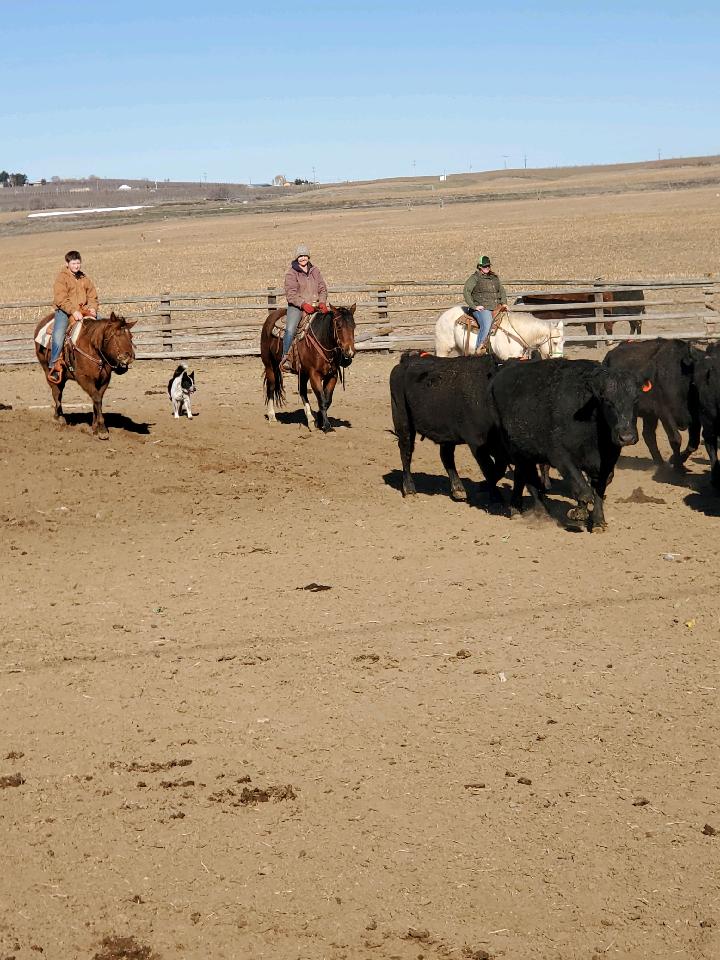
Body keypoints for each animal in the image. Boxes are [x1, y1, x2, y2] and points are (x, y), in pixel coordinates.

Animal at [434, 305, 563, 360]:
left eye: (564, 342)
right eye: (555, 343)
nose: (560, 358)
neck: (514, 333)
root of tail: (442, 316)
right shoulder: (506, 357)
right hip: (443, 348)